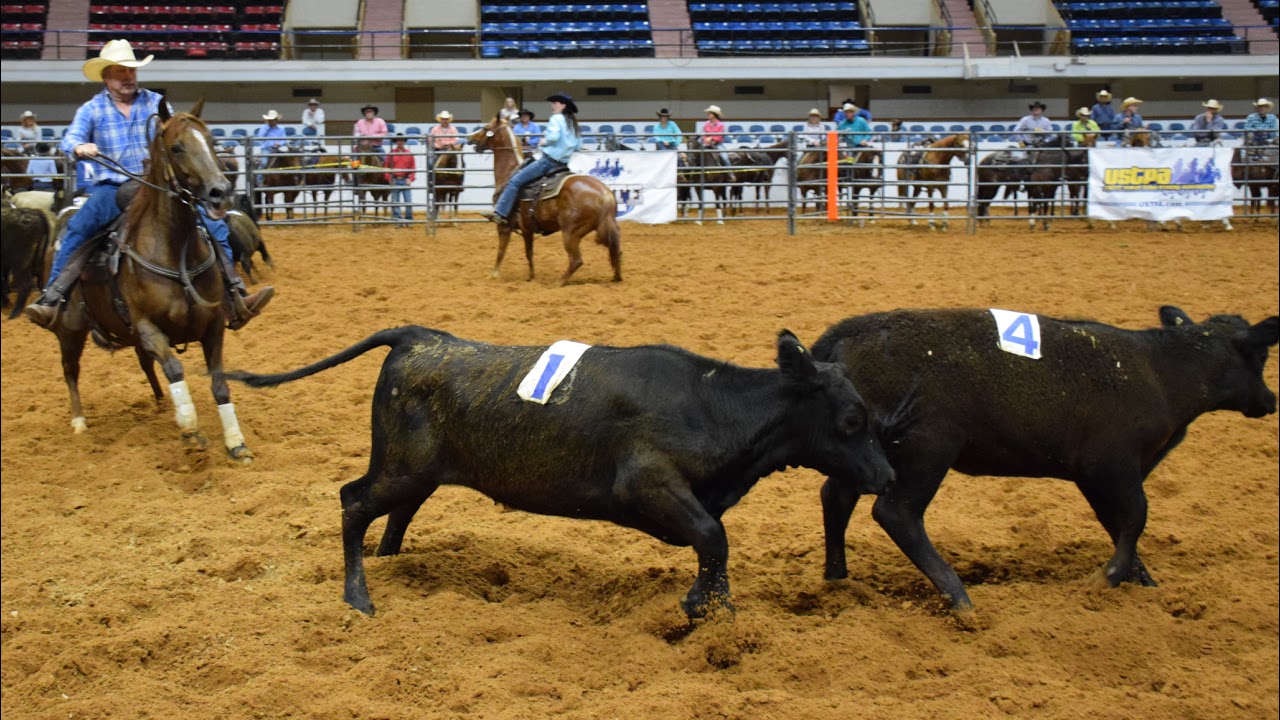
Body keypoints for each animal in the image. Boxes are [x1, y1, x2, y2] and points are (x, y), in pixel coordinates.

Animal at [41, 100, 256, 460]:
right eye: (177, 147)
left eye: (212, 141)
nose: (221, 193)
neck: (175, 252)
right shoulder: (148, 328)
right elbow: (174, 369)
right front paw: (190, 429)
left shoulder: (213, 327)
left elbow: (220, 383)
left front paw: (236, 442)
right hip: (69, 330)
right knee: (70, 370)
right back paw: (79, 421)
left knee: (144, 364)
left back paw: (159, 403)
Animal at [228, 327, 895, 618]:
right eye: (852, 420)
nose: (888, 478)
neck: (709, 405)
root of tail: (417, 337)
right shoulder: (646, 484)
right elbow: (714, 538)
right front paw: (706, 613)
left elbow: (714, 544)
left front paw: (709, 607)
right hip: (400, 467)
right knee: (352, 501)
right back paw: (358, 596)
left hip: (420, 472)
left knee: (392, 515)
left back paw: (390, 567)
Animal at [467, 117, 621, 284]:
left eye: (485, 128)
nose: (469, 138)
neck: (510, 172)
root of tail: (605, 193)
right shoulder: (527, 228)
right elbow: (529, 253)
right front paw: (531, 277)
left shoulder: (504, 225)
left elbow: (501, 249)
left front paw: (494, 275)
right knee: (616, 251)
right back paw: (617, 278)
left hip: (571, 233)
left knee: (576, 260)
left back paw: (559, 282)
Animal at [811, 306, 1279, 614]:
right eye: (1260, 356)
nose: (1270, 401)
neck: (1164, 374)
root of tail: (847, 335)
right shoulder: (1111, 467)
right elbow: (1134, 519)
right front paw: (1107, 580)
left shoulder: (1099, 477)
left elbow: (1118, 525)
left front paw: (1145, 583)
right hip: (927, 447)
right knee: (898, 513)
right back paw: (958, 597)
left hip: (864, 451)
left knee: (837, 498)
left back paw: (838, 579)